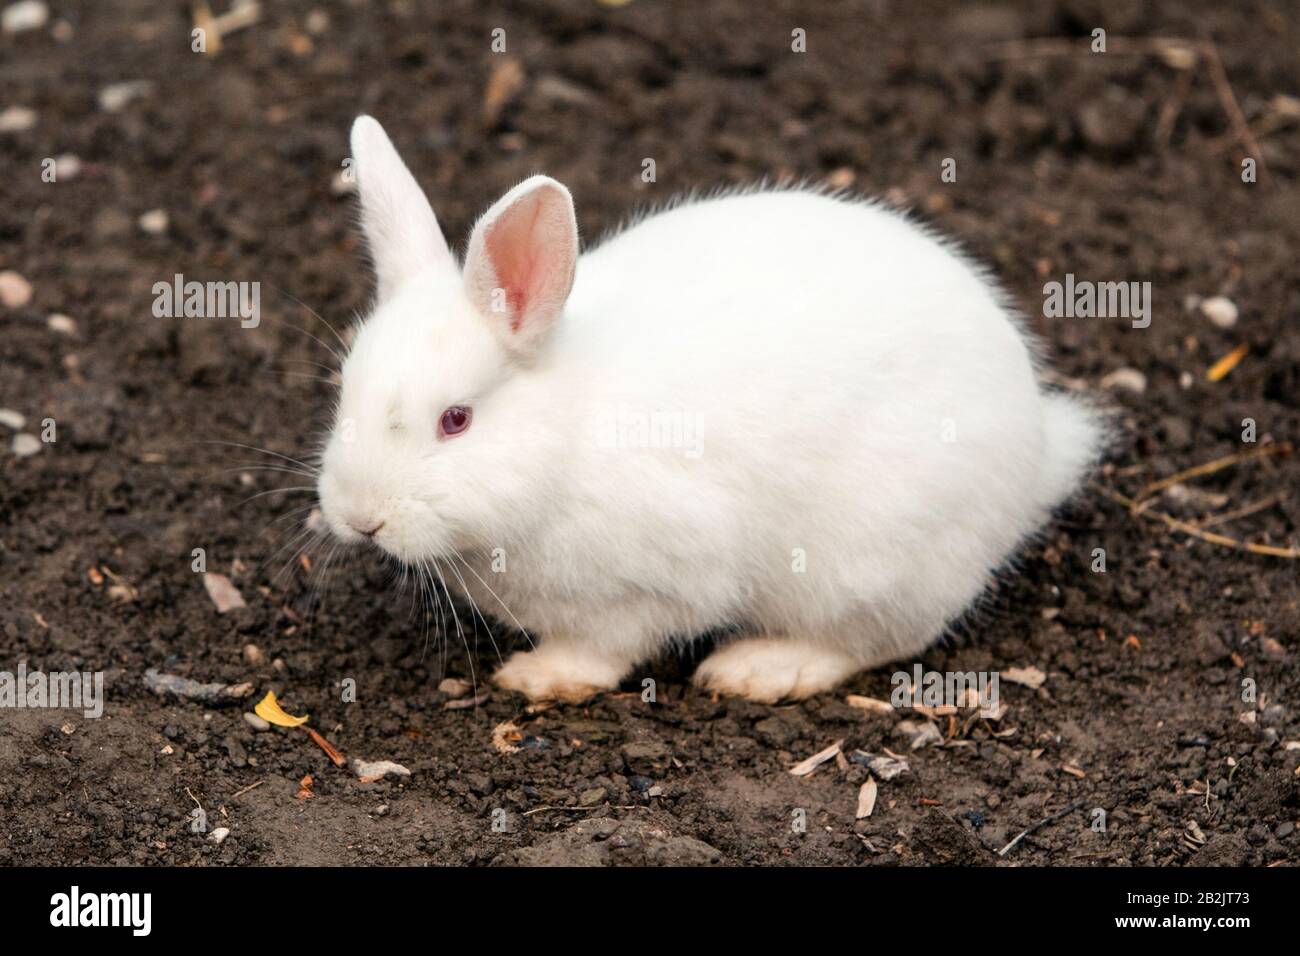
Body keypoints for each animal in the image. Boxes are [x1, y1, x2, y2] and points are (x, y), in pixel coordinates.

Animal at [316, 115, 1105, 704]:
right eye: (344, 385)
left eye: (456, 420)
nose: (360, 518)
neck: (563, 436)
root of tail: (1036, 449)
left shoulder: (656, 582)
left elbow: (609, 644)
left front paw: (542, 677)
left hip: (870, 563)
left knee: (876, 640)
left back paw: (759, 669)